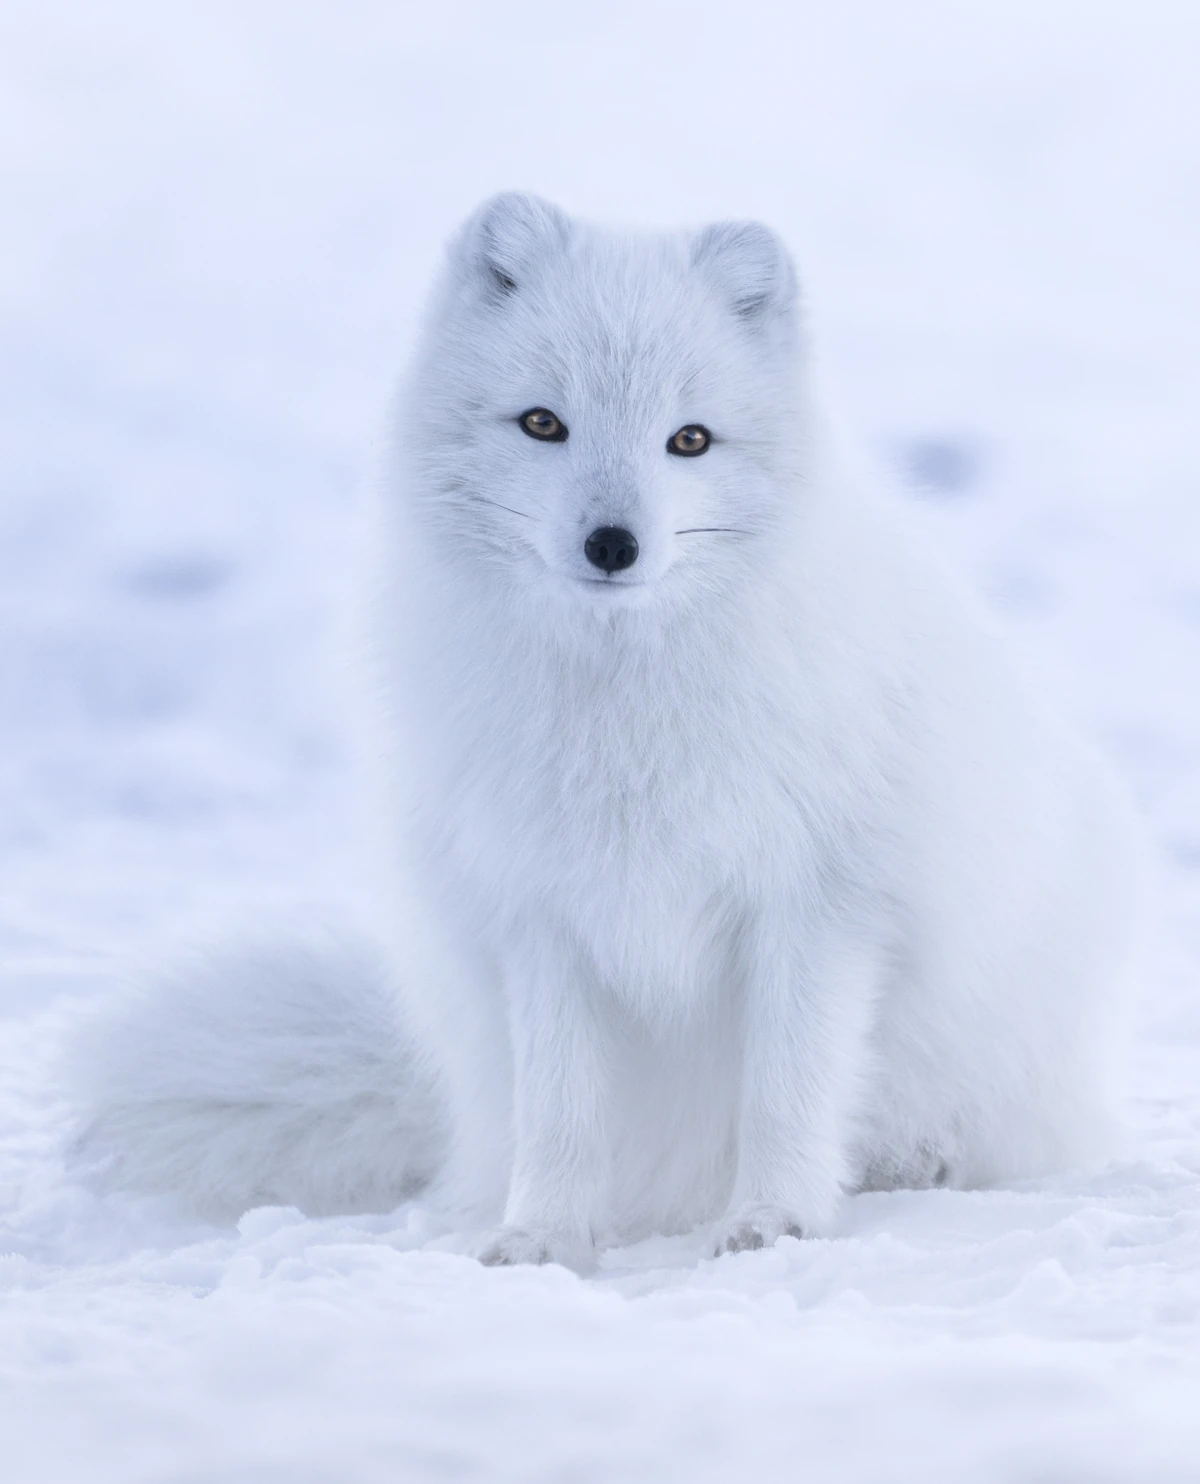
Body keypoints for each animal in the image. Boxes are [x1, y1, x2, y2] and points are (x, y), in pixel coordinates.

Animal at [71, 193, 1140, 1268]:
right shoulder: (541, 914)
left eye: (690, 440)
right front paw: (541, 1236)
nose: (613, 545)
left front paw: (774, 1220)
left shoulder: (819, 904)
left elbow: (788, 1090)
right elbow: (561, 1111)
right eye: (544, 423)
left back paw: (916, 1161)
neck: (623, 709)